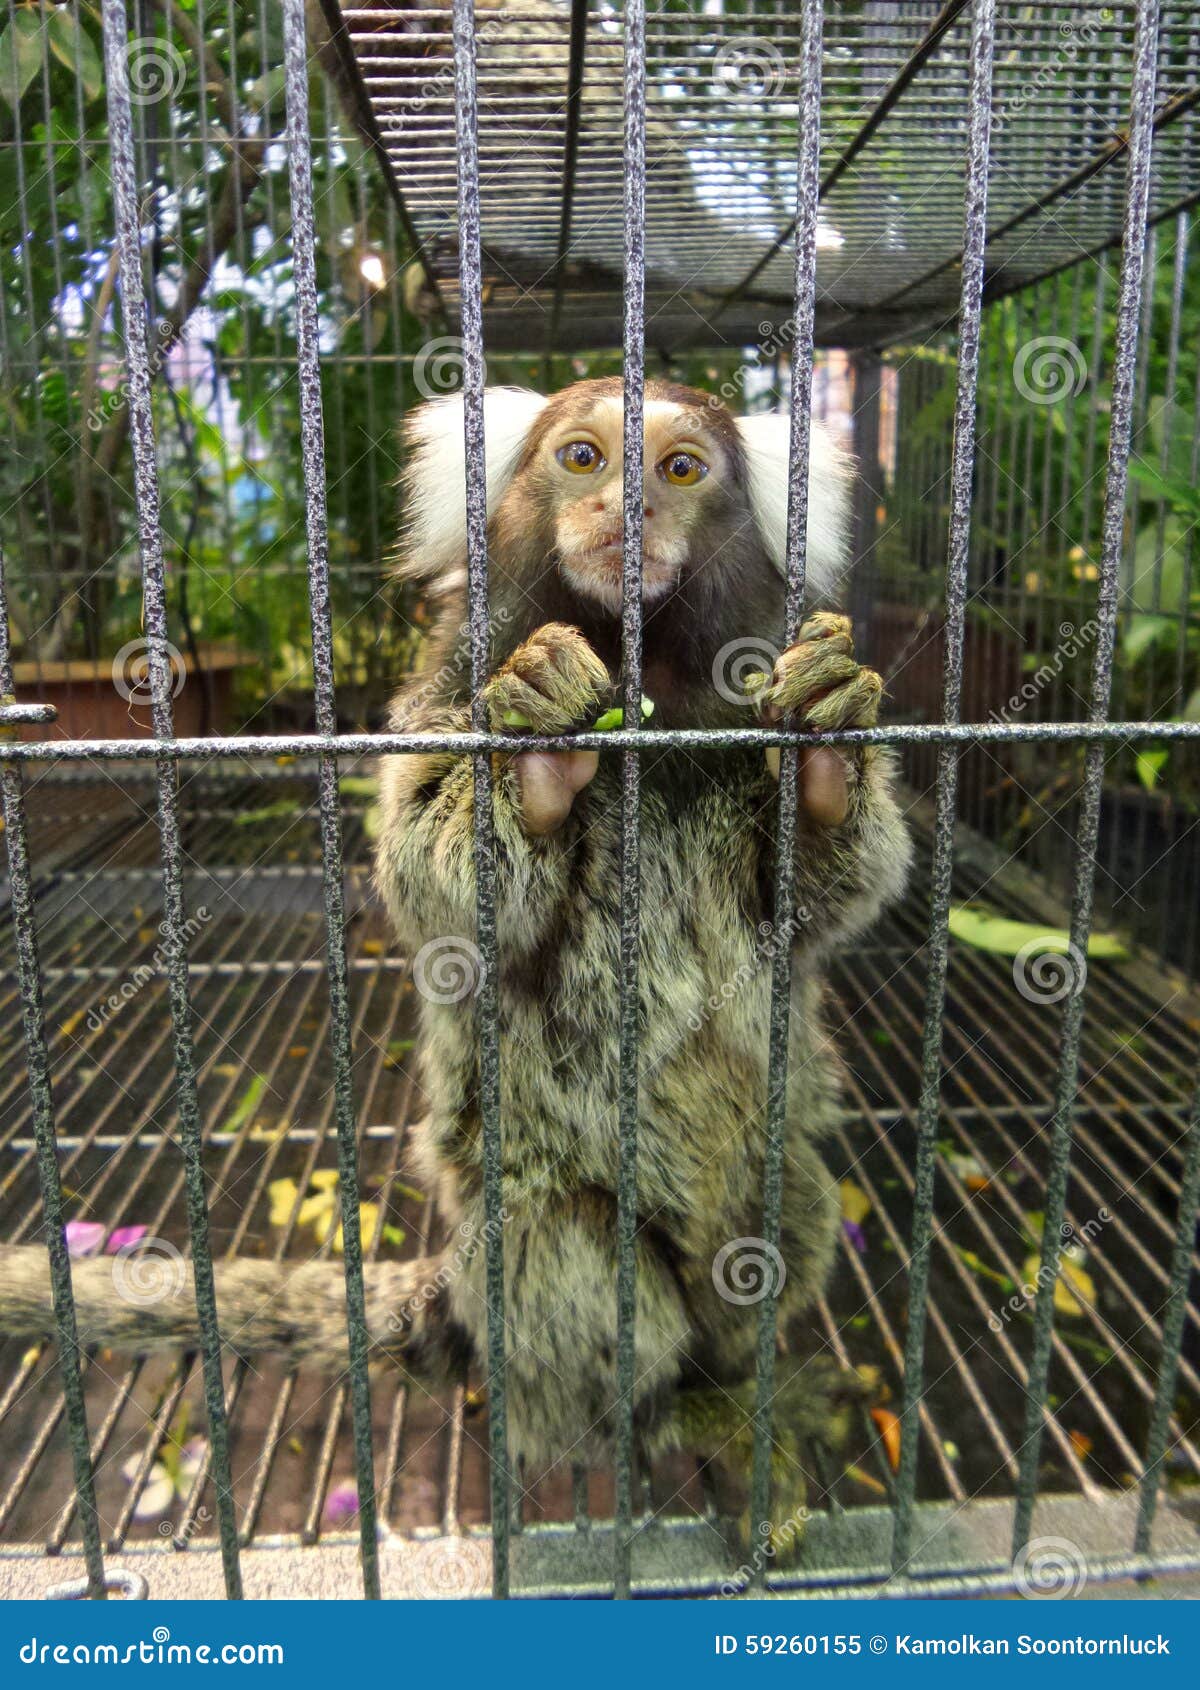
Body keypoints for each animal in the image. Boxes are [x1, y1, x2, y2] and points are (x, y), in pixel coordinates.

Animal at [0, 377, 910, 1553]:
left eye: (679, 469)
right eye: (583, 457)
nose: (625, 507)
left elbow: (819, 901)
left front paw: (830, 751)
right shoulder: (444, 692)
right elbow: (439, 880)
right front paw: (540, 753)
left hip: (762, 1181)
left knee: (780, 1205)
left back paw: (737, 1392)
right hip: (521, 1263)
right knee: (563, 1263)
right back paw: (658, 1421)